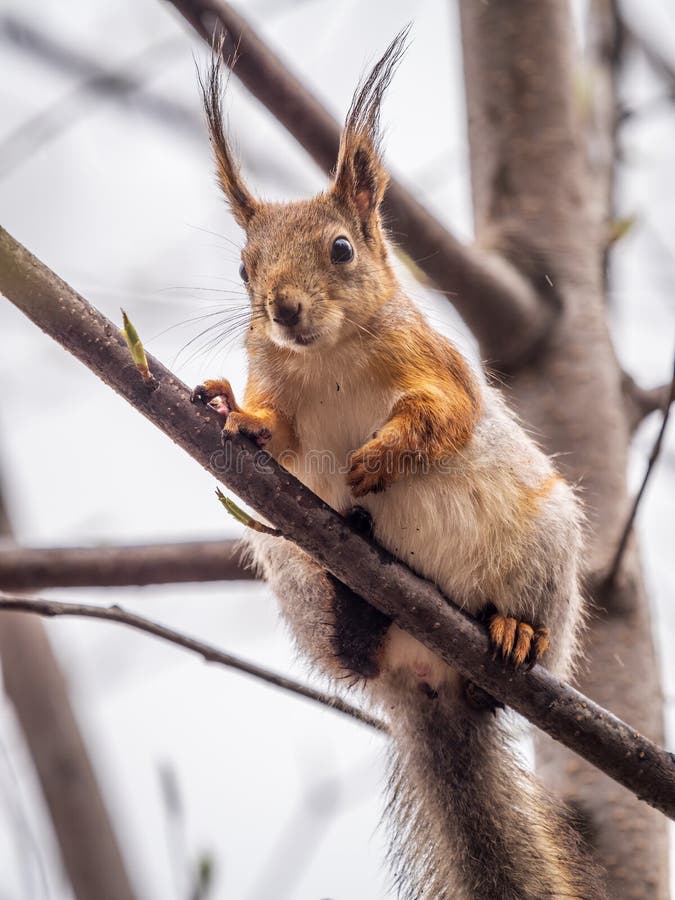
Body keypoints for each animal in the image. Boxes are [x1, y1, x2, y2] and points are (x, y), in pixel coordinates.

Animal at [191, 31, 608, 900]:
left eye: (341, 248)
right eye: (245, 267)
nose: (282, 310)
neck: (328, 357)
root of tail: (427, 679)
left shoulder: (438, 369)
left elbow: (440, 421)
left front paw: (379, 459)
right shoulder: (281, 390)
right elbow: (277, 431)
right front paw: (234, 412)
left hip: (546, 554)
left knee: (506, 664)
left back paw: (512, 633)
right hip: (294, 581)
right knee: (351, 647)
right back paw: (356, 613)